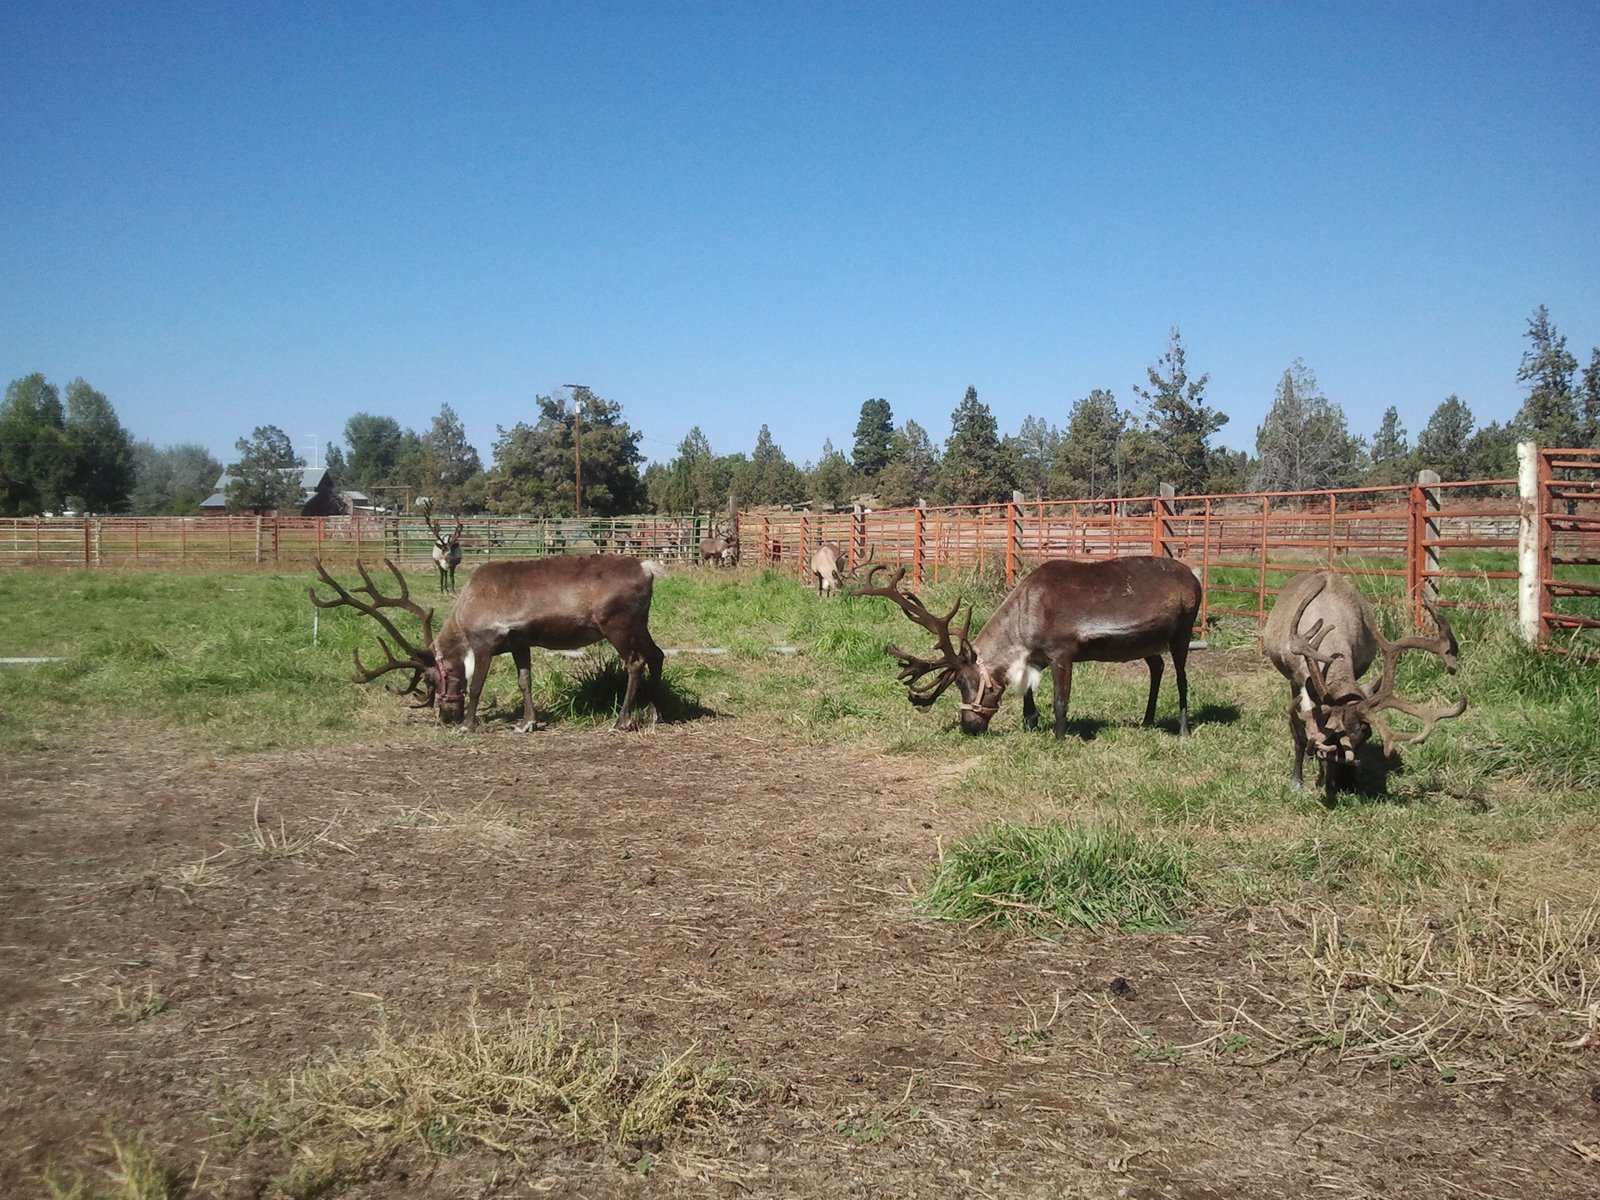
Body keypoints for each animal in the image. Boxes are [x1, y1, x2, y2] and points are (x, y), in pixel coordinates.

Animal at [310, 555, 665, 733]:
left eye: (430, 679)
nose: (446, 716)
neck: (464, 613)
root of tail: (647, 568)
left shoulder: (485, 642)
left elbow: (477, 685)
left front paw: (468, 724)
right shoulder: (521, 641)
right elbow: (524, 680)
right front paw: (527, 722)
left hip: (617, 625)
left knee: (635, 662)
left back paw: (621, 722)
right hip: (639, 624)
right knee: (657, 655)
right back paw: (655, 713)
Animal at [853, 555, 1202, 739]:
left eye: (964, 682)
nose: (969, 726)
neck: (1024, 623)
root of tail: (1195, 578)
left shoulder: (1062, 652)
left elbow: (1061, 701)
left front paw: (1060, 738)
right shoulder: (1036, 658)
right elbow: (1028, 695)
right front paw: (1030, 721)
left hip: (1182, 631)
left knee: (1182, 678)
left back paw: (1183, 729)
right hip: (1148, 642)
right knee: (1157, 667)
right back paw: (1147, 720)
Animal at [1263, 570, 1466, 798]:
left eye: (1365, 736)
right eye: (1330, 739)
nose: (1345, 785)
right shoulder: (1295, 678)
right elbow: (1298, 732)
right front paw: (1297, 781)